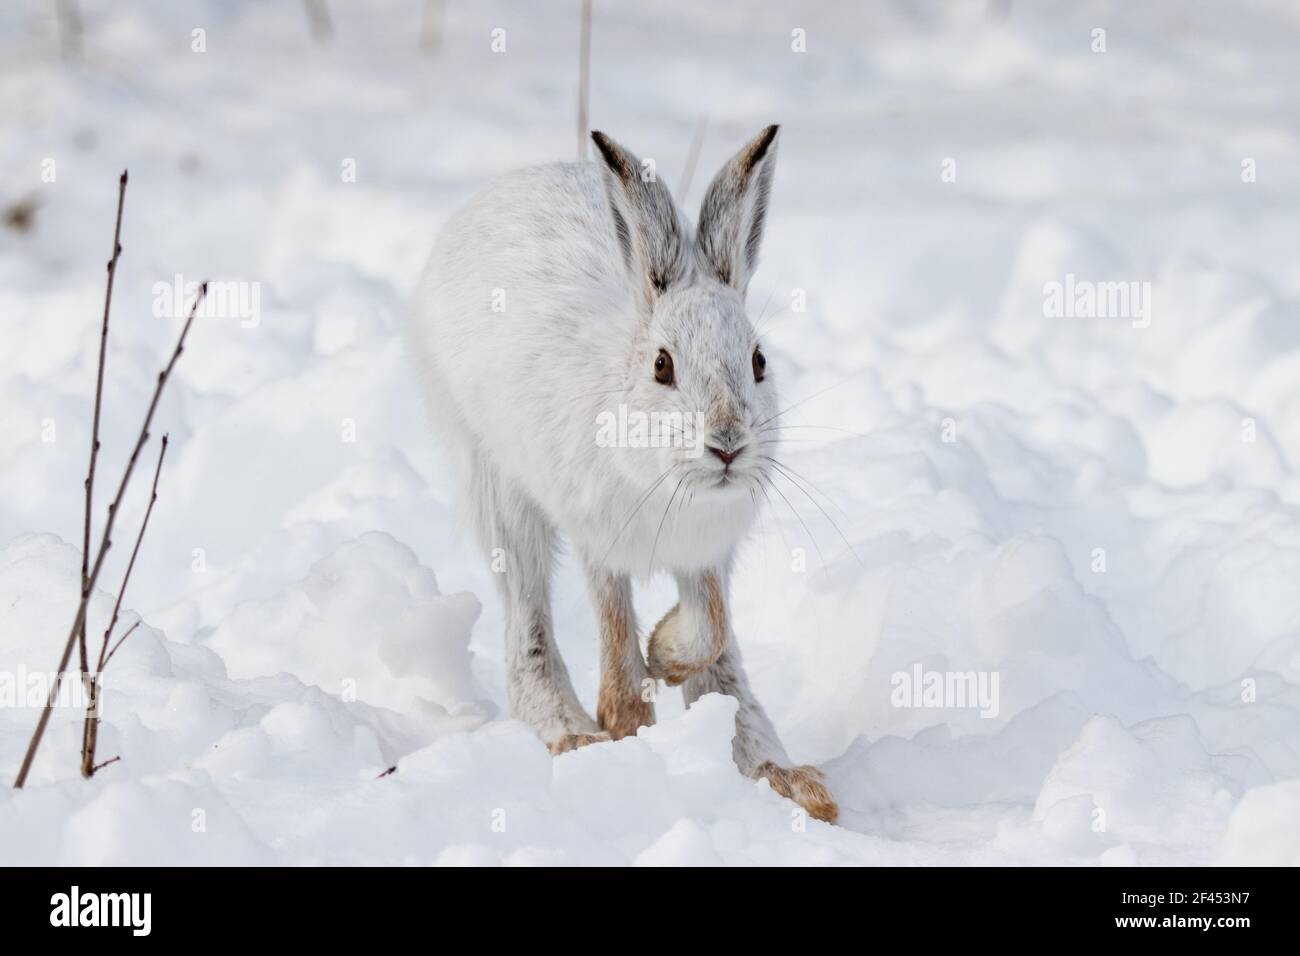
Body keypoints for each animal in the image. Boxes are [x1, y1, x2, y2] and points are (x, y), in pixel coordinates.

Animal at [408, 125, 837, 824]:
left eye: (758, 361)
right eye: (662, 365)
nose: (726, 445)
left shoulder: (707, 554)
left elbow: (713, 634)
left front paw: (664, 655)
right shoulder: (598, 539)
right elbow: (614, 635)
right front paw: (627, 723)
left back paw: (784, 775)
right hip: (497, 487)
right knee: (526, 620)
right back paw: (570, 732)